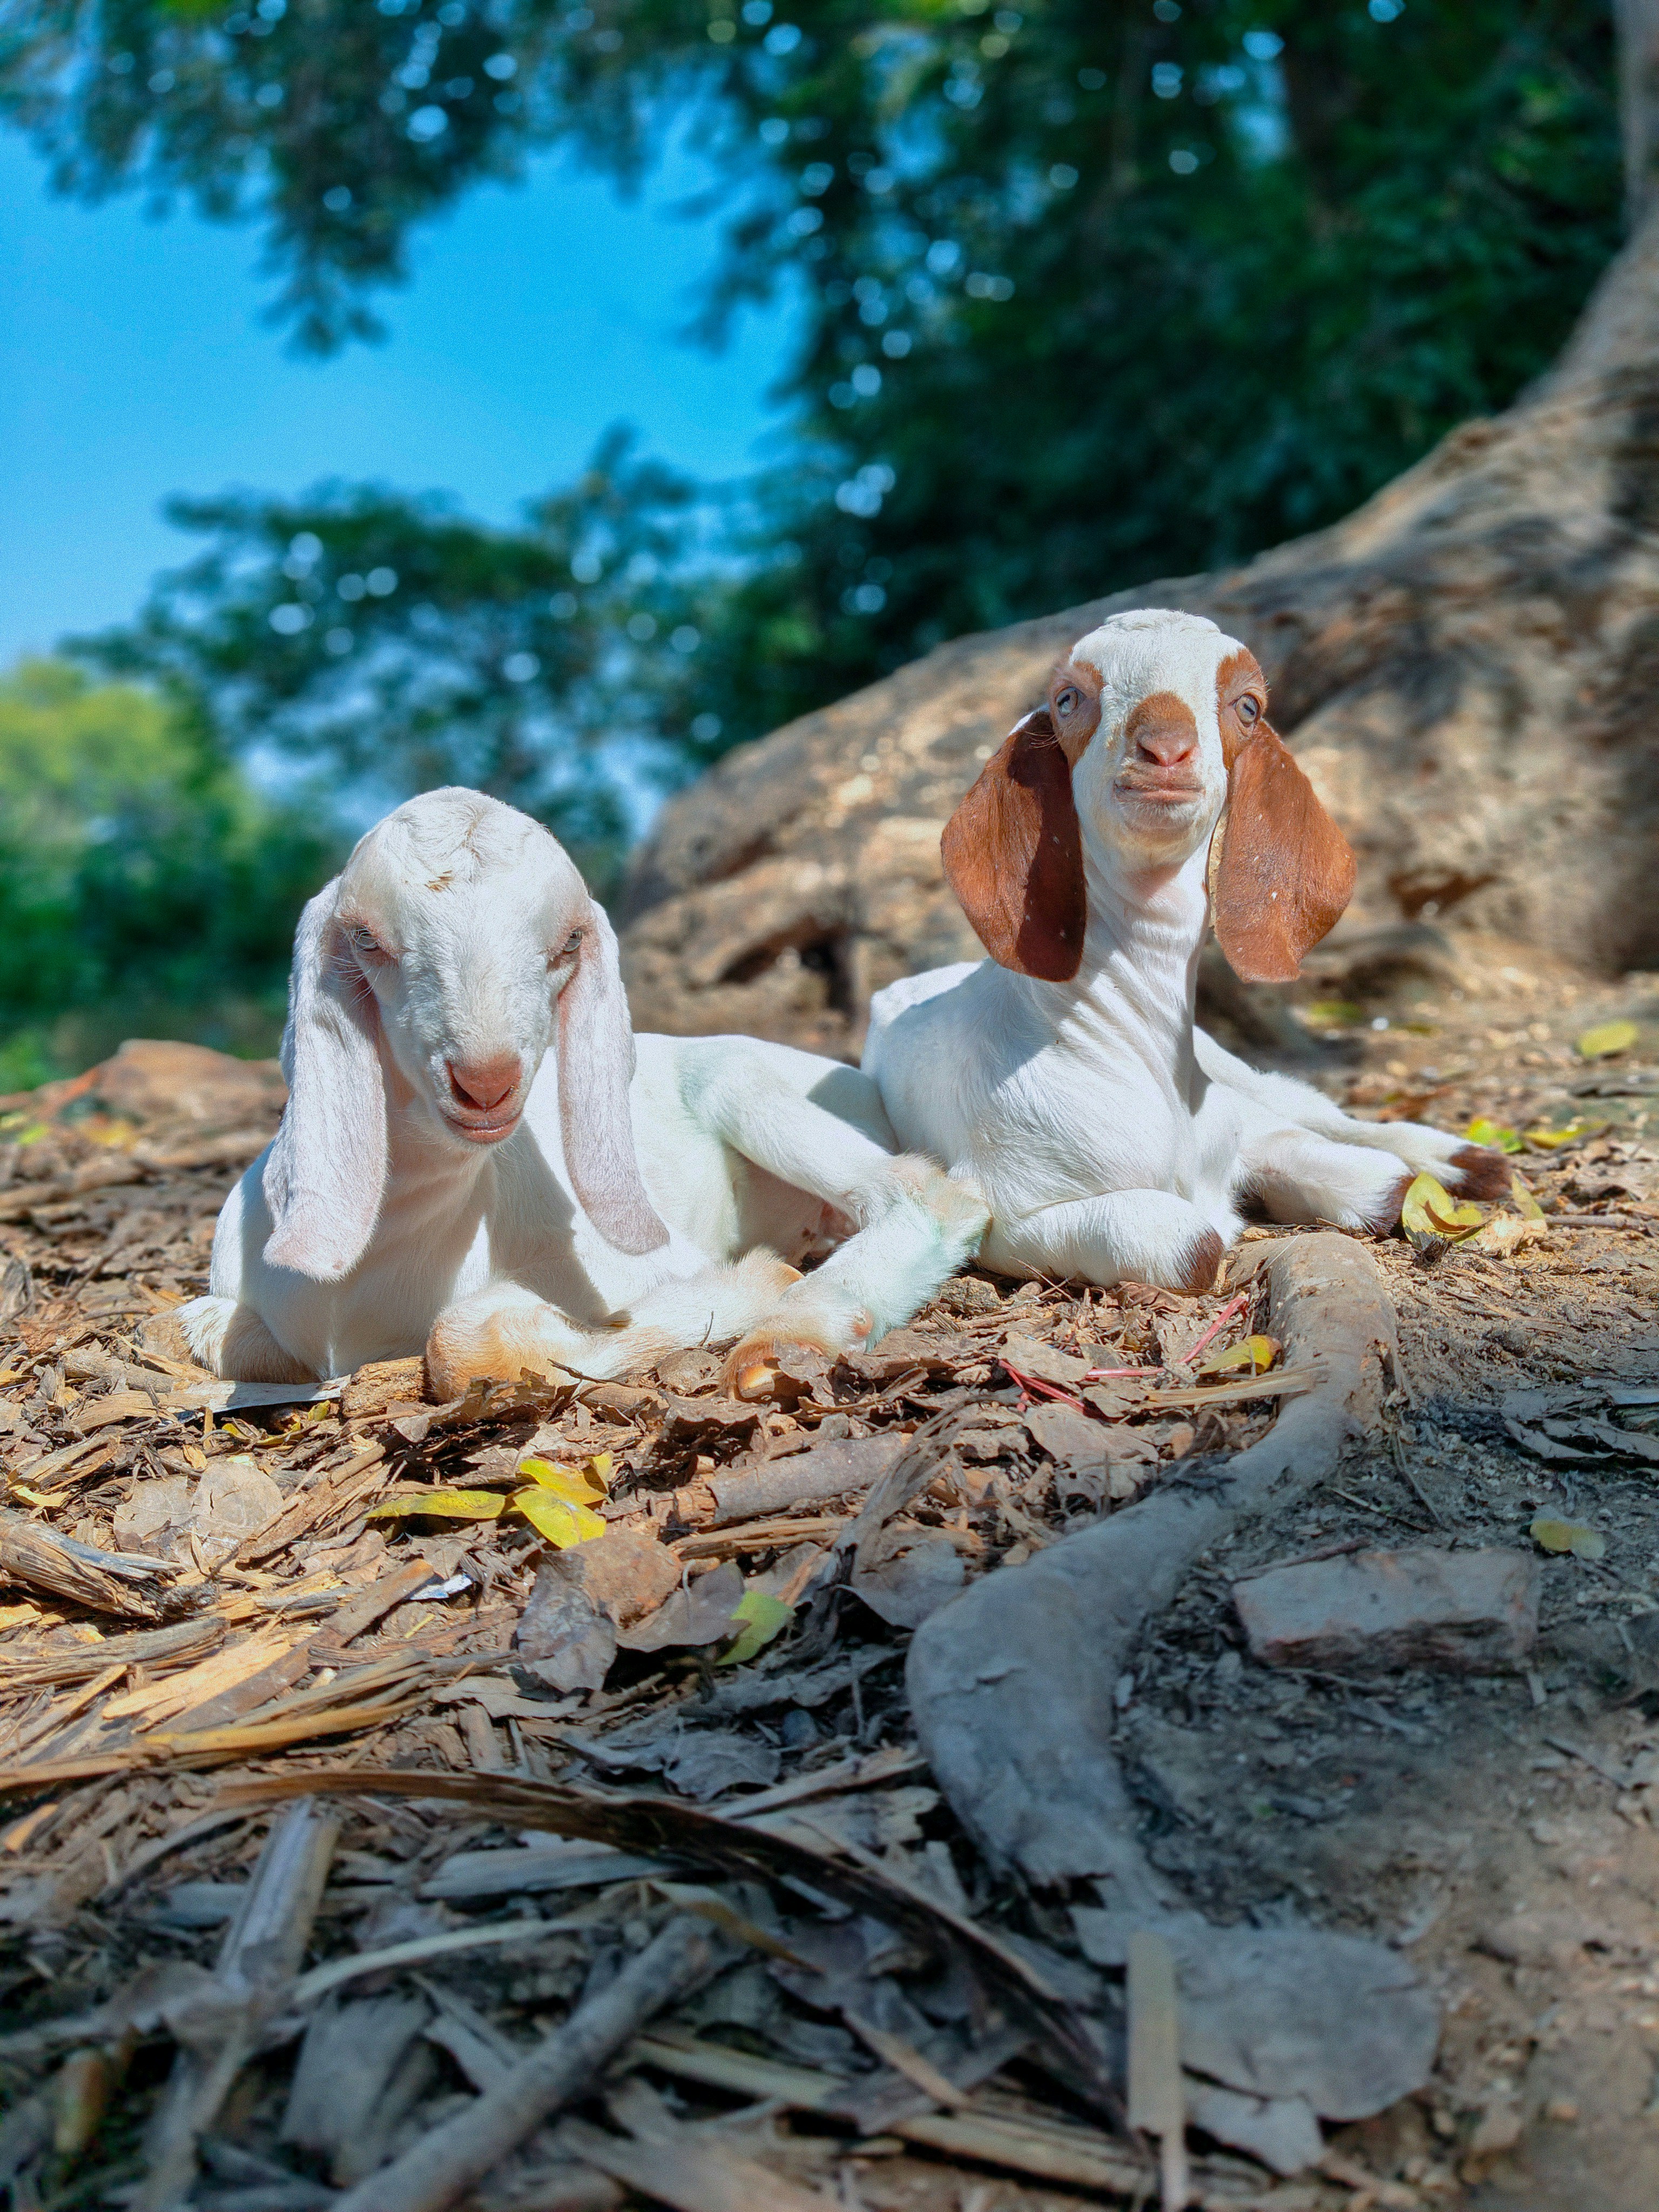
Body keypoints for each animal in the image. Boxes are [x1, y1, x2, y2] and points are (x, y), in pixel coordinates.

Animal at [180, 789, 987, 1394]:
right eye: (368, 940)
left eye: (569, 942)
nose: (487, 1083)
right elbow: (207, 1328)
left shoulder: (638, 1263)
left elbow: (461, 1340)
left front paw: (757, 1284)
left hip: (748, 1090)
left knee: (927, 1195)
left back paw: (790, 1338)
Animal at [863, 608, 1509, 1292]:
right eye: (1068, 700)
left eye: (1248, 706)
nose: (1165, 752)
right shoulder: (1005, 1216)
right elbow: (1194, 1242)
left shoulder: (1239, 1125)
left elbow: (1384, 1181)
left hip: (1228, 1061)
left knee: (1309, 1106)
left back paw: (1467, 1159)